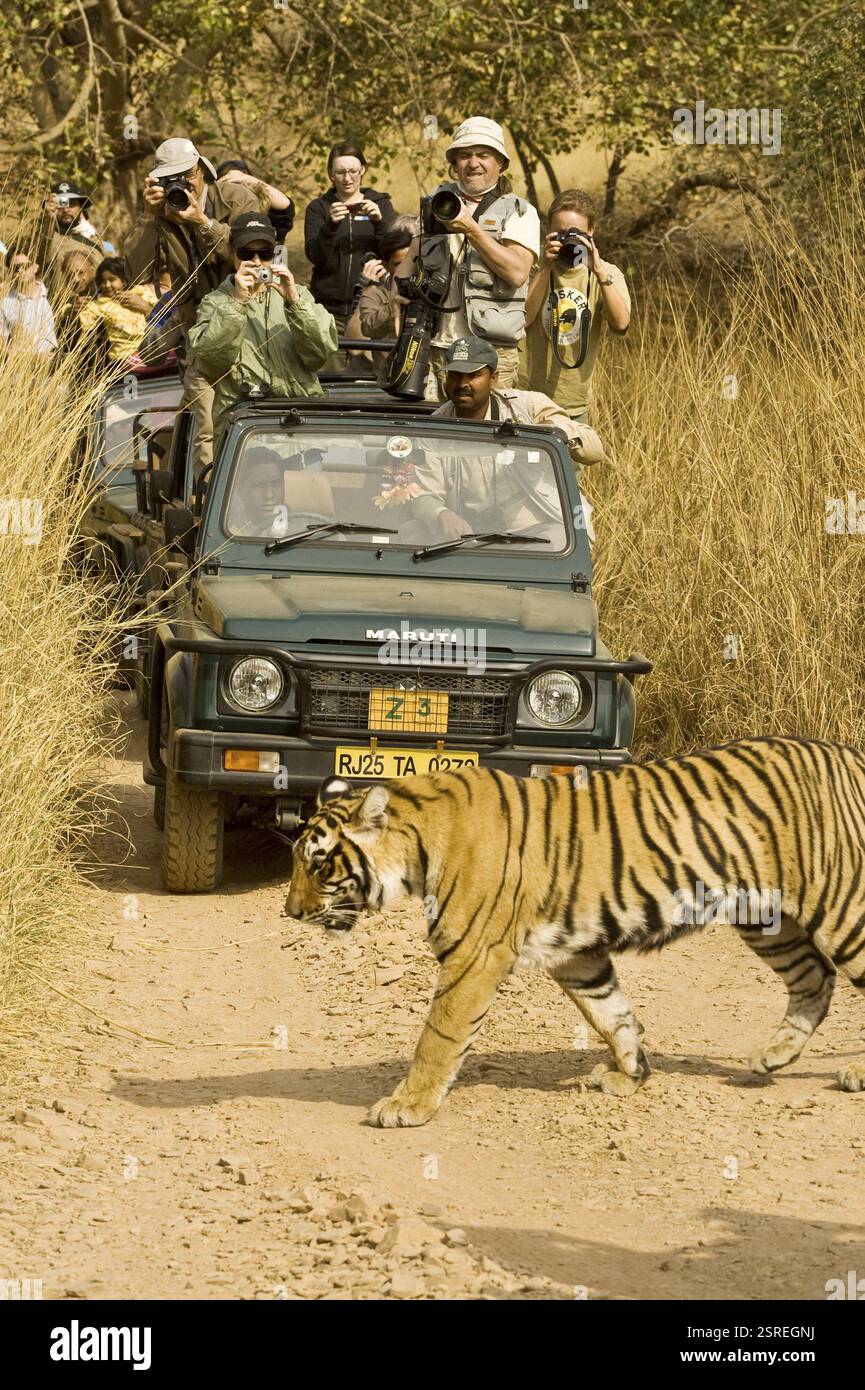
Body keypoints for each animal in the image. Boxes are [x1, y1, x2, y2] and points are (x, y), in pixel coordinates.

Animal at [284, 735, 865, 1128]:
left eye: (318, 863)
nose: (290, 912)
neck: (417, 846)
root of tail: (850, 753)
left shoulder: (474, 956)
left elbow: (440, 1036)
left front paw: (407, 1105)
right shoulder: (576, 956)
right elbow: (613, 1016)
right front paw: (630, 1074)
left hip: (841, 904)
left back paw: (854, 1075)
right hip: (766, 919)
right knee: (814, 979)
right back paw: (773, 1056)